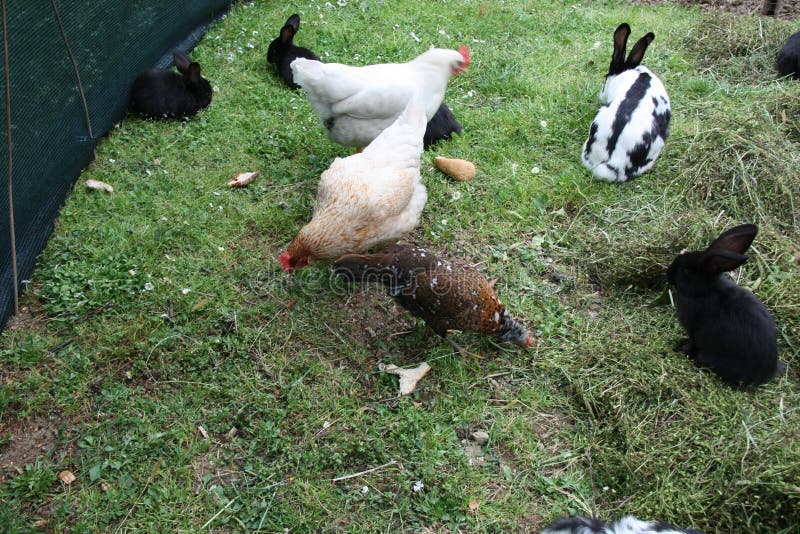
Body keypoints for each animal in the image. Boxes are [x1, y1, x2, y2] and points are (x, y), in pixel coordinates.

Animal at [667, 224, 785, 387]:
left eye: (685, 270)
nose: (668, 273)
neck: (706, 291)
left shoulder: (694, 331)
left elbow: (692, 343)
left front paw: (682, 350)